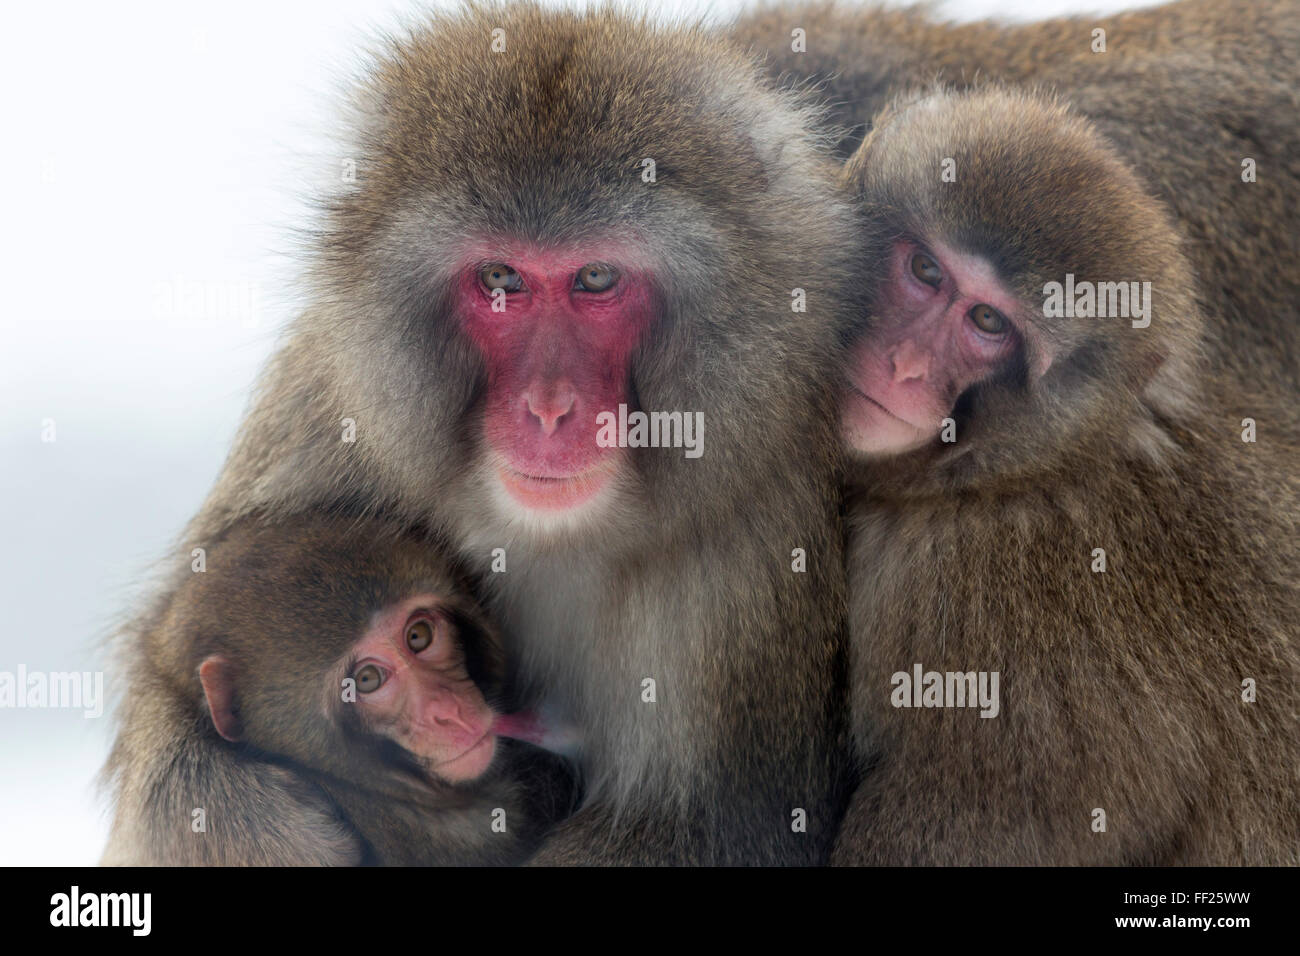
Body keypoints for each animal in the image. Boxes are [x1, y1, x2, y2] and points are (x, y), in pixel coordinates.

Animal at [826, 86, 1300, 865]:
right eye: (926, 272)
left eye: (989, 322)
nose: (905, 366)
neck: (1023, 472)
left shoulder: (976, 590)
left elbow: (1012, 811)